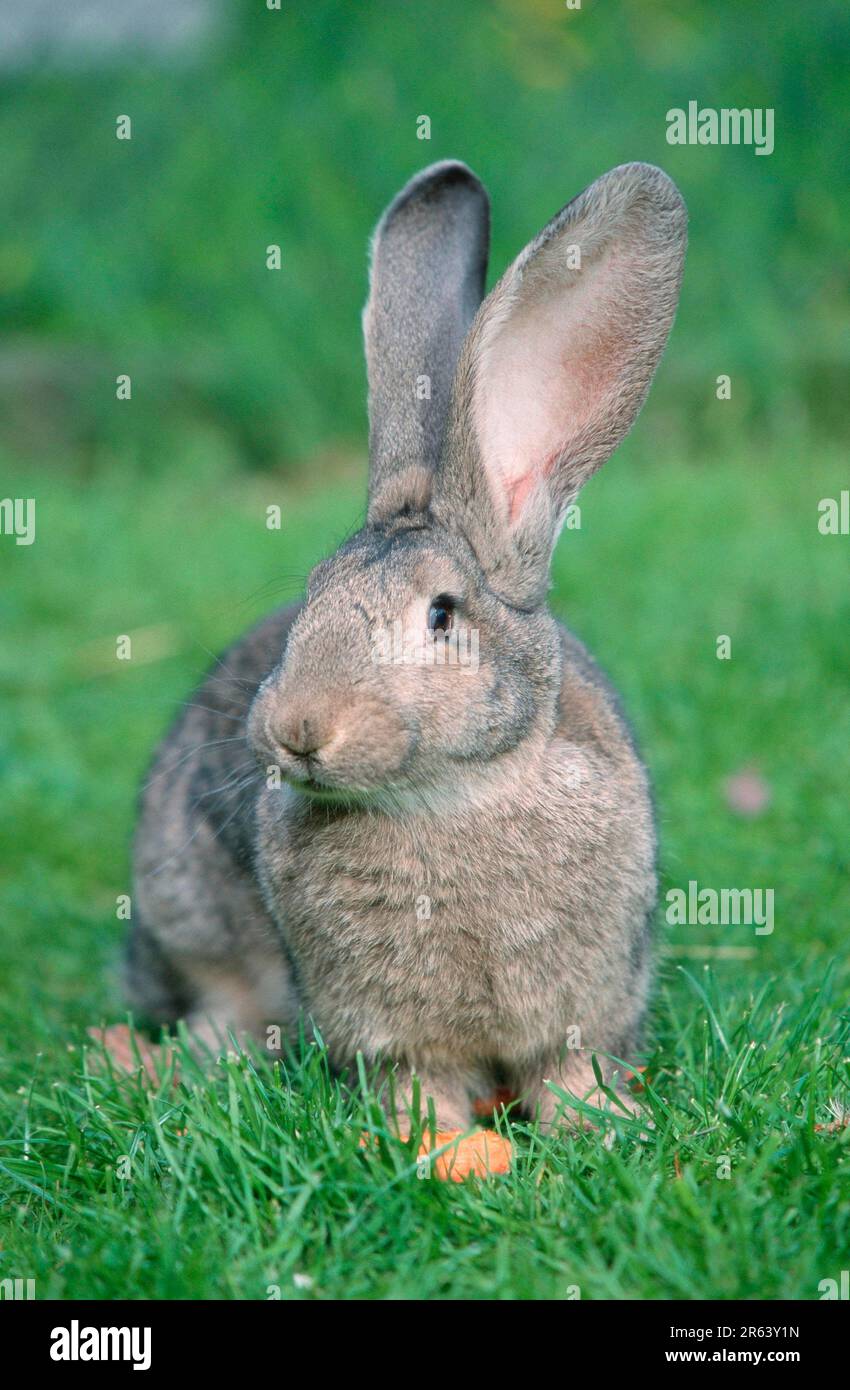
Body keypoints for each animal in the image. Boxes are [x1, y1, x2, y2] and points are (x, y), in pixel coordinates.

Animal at [124, 159, 686, 1159]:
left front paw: (603, 1131)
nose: (298, 729)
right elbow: (415, 1085)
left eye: (440, 614)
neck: (451, 798)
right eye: (310, 596)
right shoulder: (385, 1032)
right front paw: (443, 1150)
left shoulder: (586, 1007)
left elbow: (572, 1074)